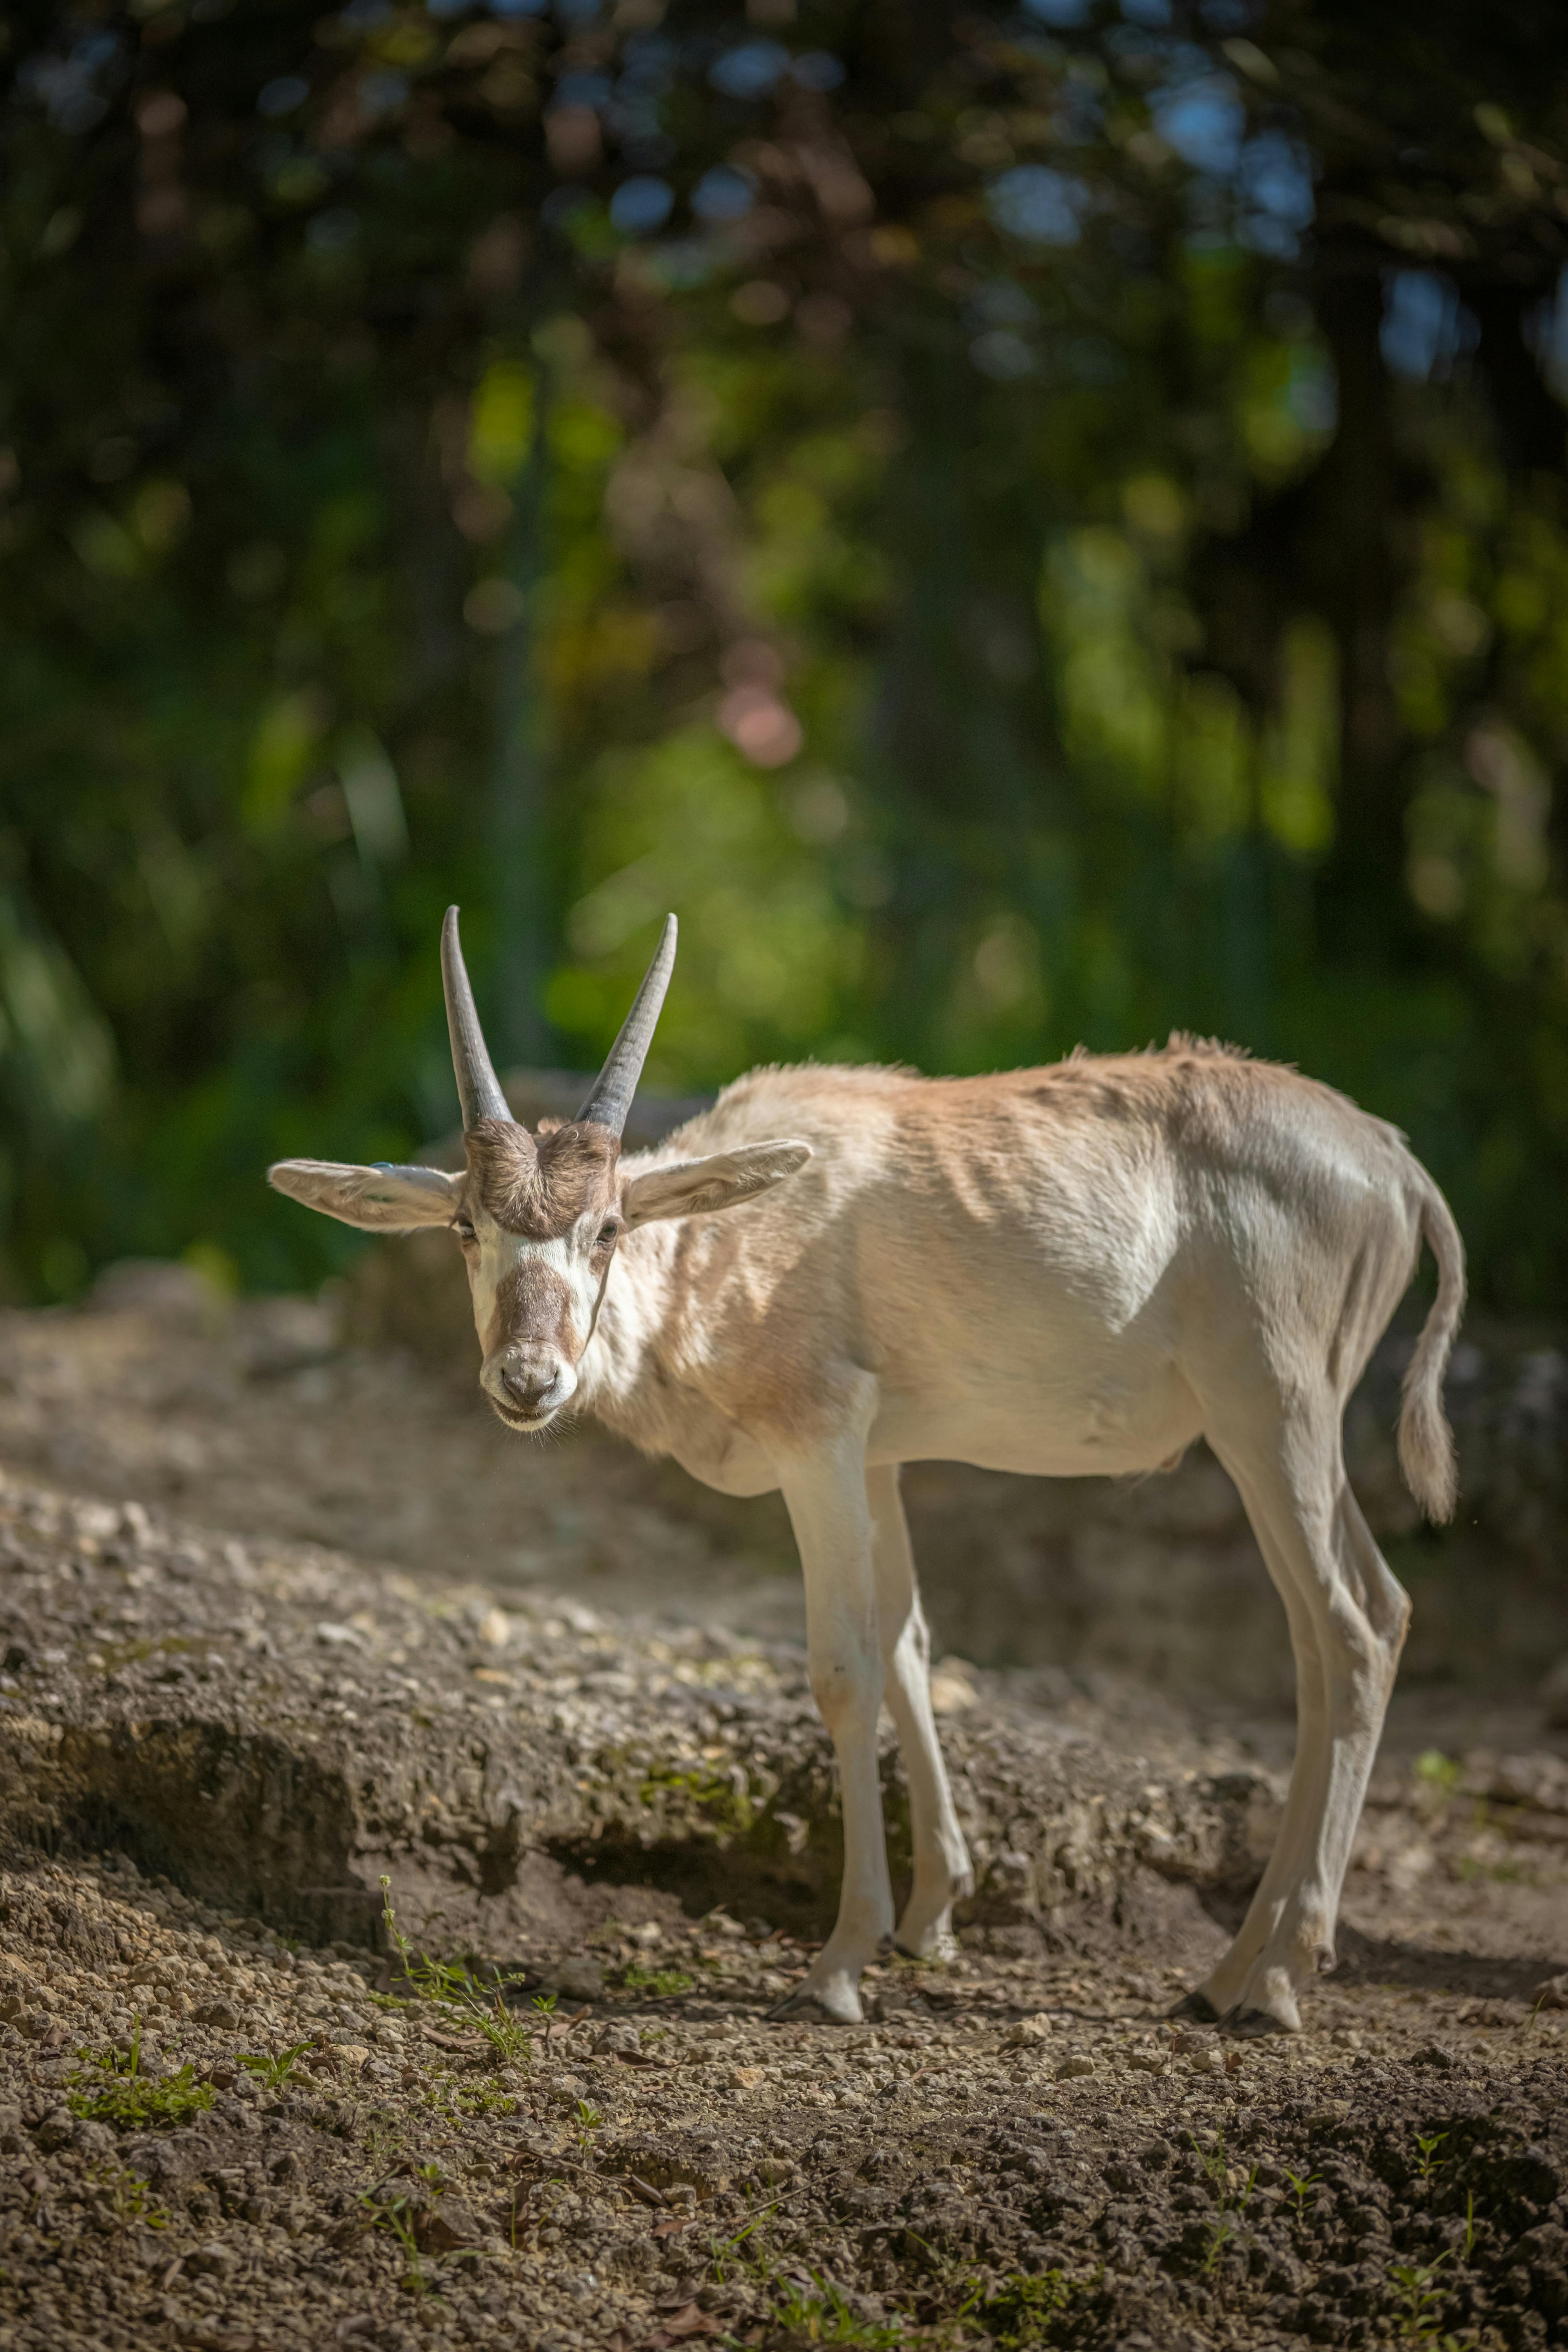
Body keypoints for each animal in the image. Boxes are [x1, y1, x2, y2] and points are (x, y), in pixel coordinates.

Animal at [269, 908, 1464, 2036]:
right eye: (466, 1224)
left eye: (606, 1227)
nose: (528, 1379)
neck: (733, 1237)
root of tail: (1392, 1161)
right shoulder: (877, 1456)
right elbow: (906, 1640)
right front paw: (931, 1918)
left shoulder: (819, 1445)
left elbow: (843, 1667)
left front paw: (841, 1963)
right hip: (1283, 1434)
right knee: (1354, 1626)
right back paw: (1228, 1973)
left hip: (1271, 1416)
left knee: (1351, 1633)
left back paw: (1277, 1982)